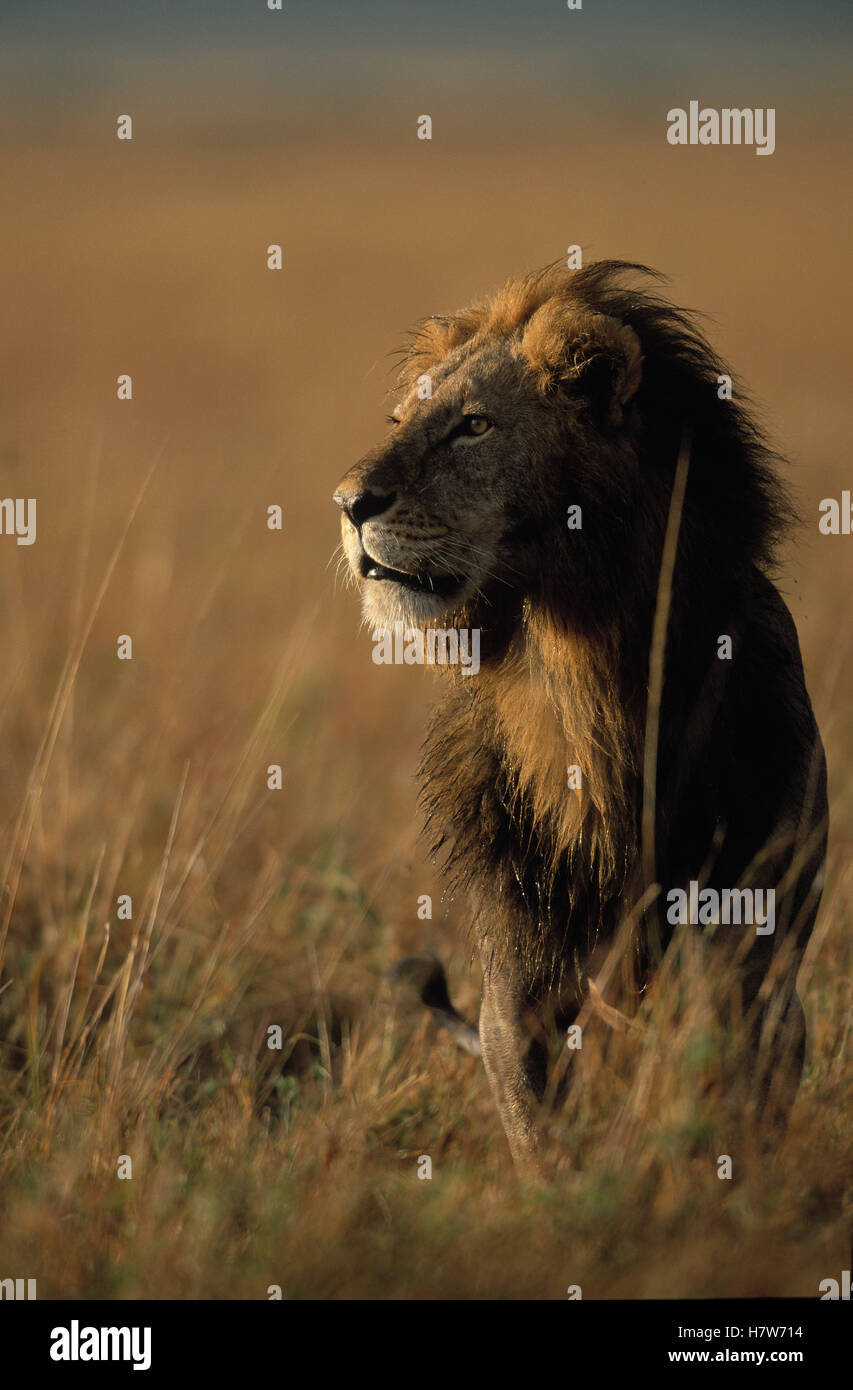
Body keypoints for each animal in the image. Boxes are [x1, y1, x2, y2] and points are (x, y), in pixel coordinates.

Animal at [333, 261, 828, 1169]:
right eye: (400, 421)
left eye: (472, 427)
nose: (348, 503)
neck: (573, 680)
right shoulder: (516, 982)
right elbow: (541, 1139)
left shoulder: (740, 956)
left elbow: (709, 1092)